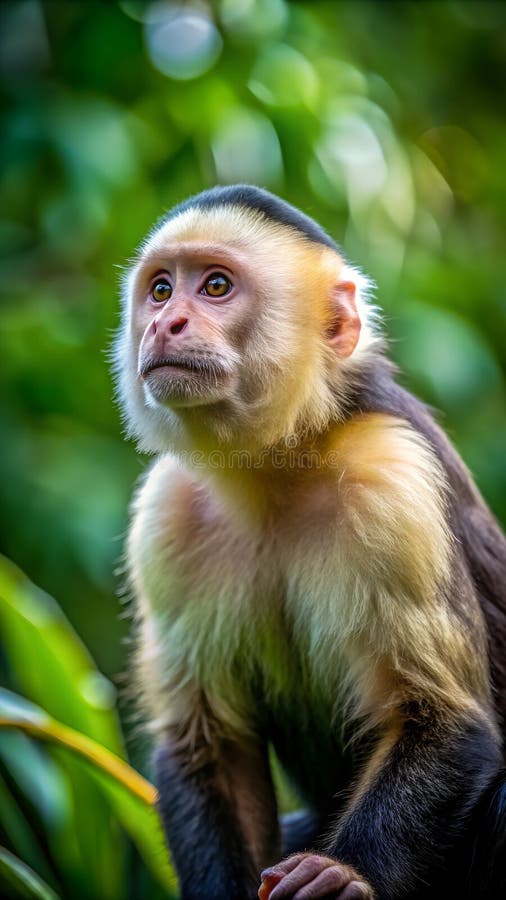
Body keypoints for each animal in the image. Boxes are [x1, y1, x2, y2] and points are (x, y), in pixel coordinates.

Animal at [115, 184, 506, 899]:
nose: (164, 324)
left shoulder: (391, 480)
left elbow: (446, 722)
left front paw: (341, 875)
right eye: (160, 290)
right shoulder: (166, 512)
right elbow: (207, 739)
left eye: (215, 287)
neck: (283, 464)